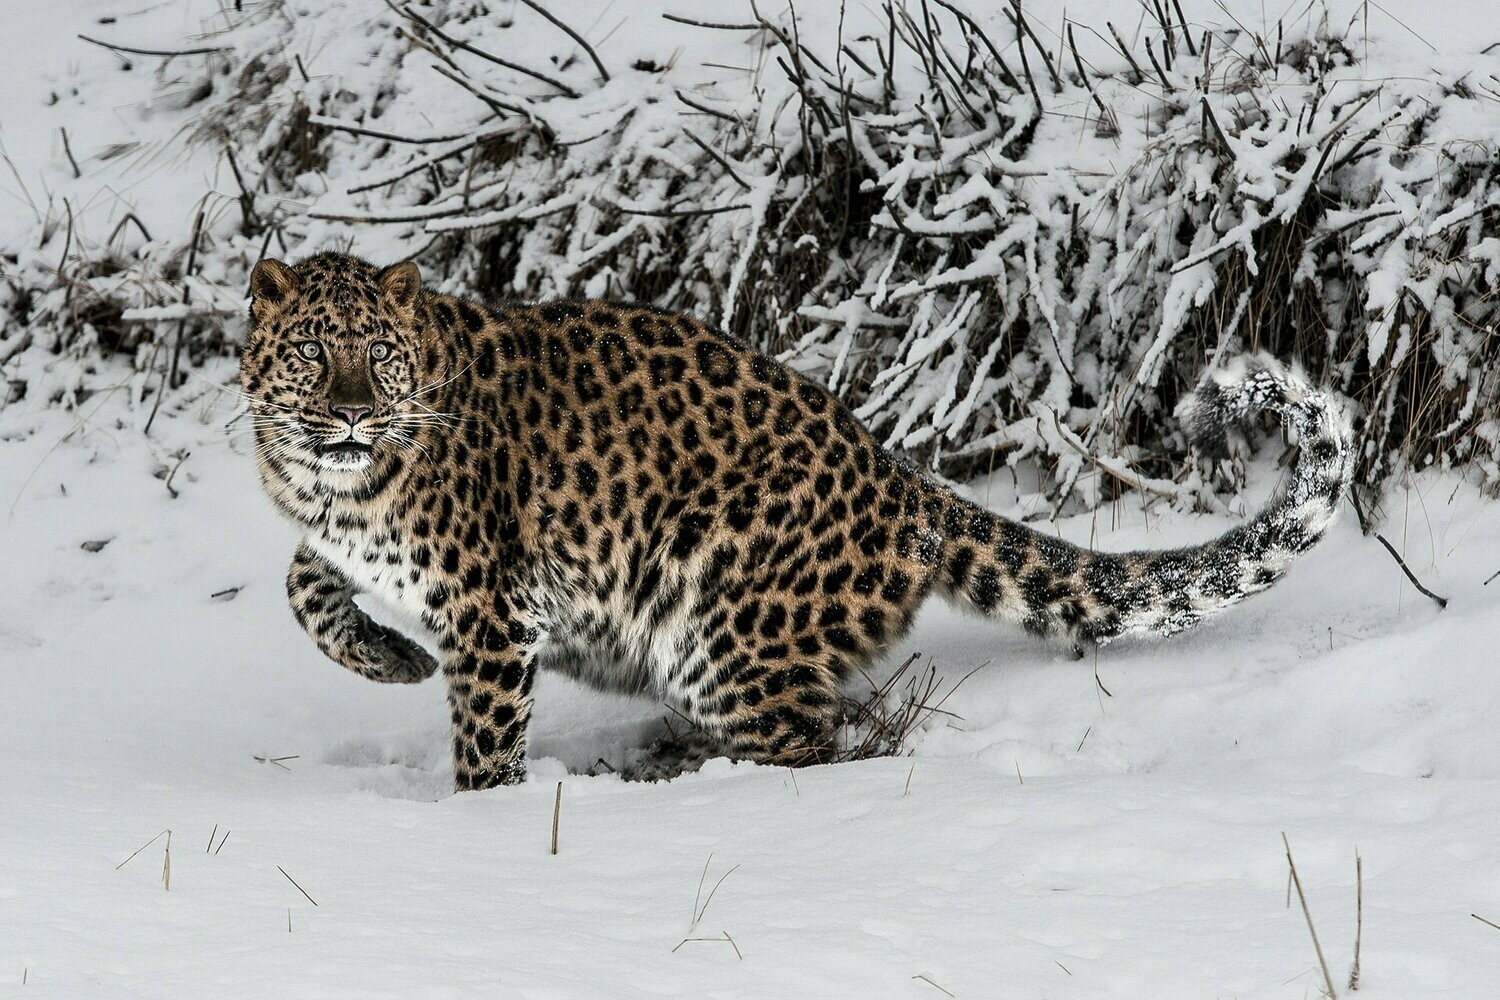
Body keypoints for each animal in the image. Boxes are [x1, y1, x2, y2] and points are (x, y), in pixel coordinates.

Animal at [240, 251, 1353, 792]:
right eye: (313, 353)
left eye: (378, 355)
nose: (351, 414)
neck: (335, 479)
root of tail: (898, 476)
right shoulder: (340, 536)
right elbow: (300, 582)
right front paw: (387, 657)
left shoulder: (490, 609)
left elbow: (481, 735)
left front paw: (475, 821)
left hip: (719, 634)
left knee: (836, 742)